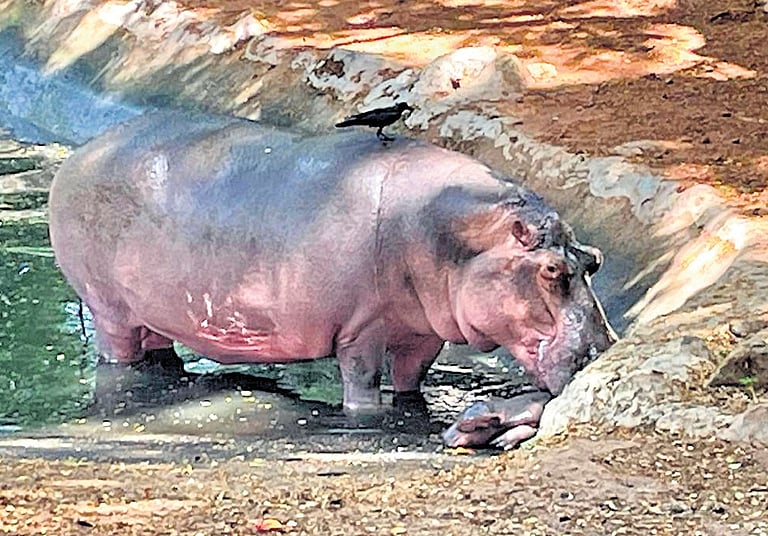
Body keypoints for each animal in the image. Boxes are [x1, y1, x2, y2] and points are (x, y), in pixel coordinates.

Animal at [48, 111, 615, 448]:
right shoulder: (361, 330)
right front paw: (368, 417)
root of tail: (85, 152)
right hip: (108, 310)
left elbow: (410, 382)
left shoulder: (422, 333)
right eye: (551, 269)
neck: (456, 239)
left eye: (594, 259)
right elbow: (362, 387)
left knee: (159, 348)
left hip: (155, 313)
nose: (600, 354)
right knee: (118, 361)